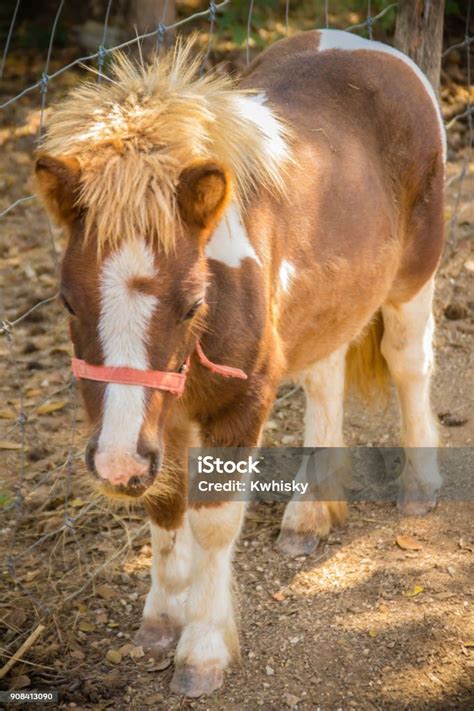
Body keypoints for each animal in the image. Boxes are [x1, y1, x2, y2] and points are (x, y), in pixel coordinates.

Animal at [35, 30, 445, 697]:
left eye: (192, 303)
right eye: (68, 301)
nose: (115, 465)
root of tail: (372, 48)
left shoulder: (238, 405)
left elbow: (213, 522)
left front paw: (202, 652)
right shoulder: (162, 425)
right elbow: (164, 507)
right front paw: (160, 623)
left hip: (415, 275)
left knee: (409, 364)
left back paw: (419, 488)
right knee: (325, 378)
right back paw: (308, 516)